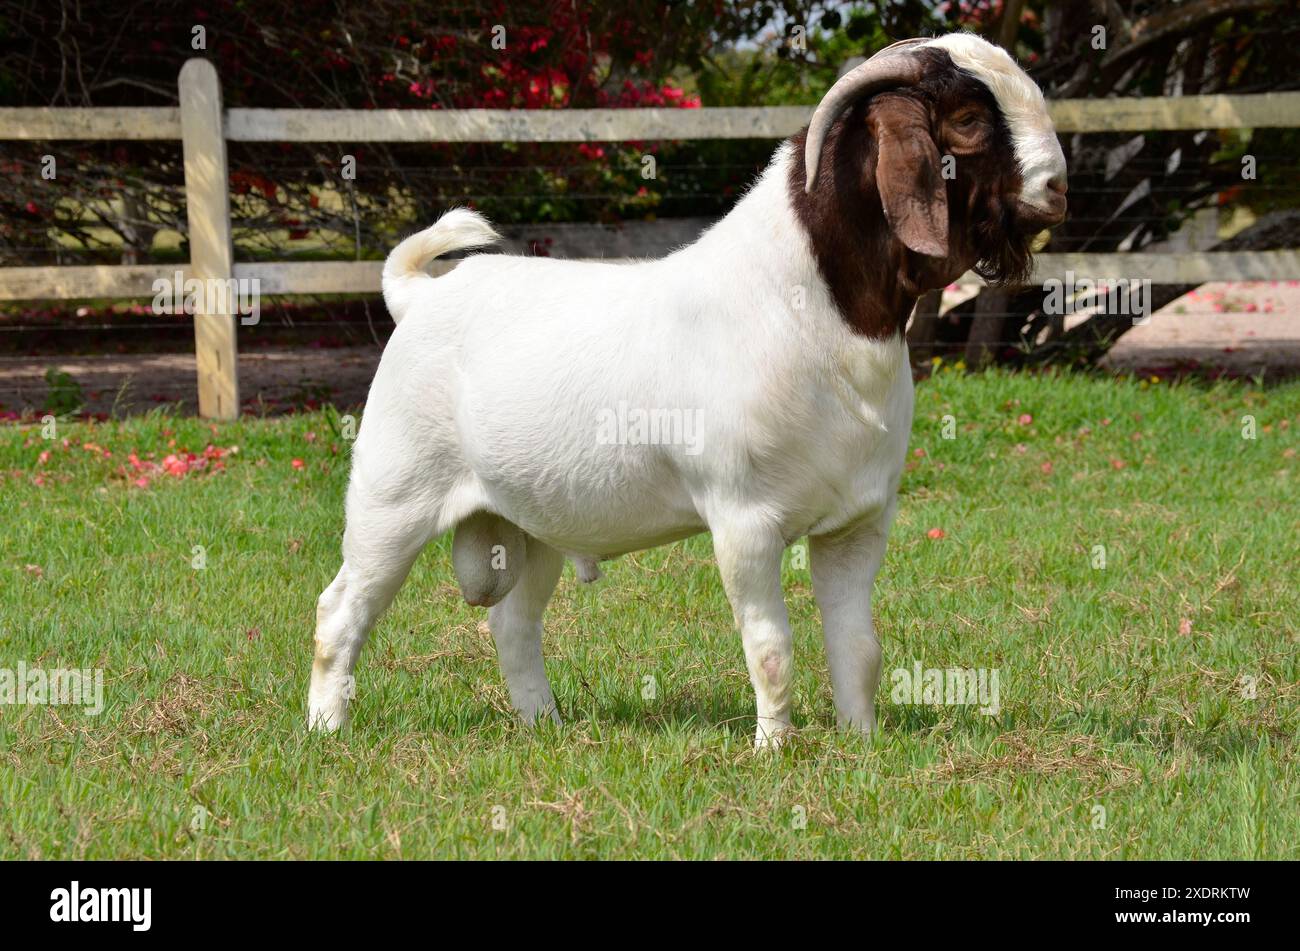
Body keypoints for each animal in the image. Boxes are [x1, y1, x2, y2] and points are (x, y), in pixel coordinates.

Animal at [307, 32, 1068, 747]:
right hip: (392, 496)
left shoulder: (859, 522)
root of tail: (417, 295)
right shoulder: (744, 521)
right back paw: (325, 728)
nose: (1058, 187)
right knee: (339, 609)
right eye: (968, 119)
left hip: (534, 520)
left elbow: (858, 646)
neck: (812, 307)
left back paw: (546, 726)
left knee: (513, 624)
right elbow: (771, 649)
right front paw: (773, 749)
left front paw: (862, 741)